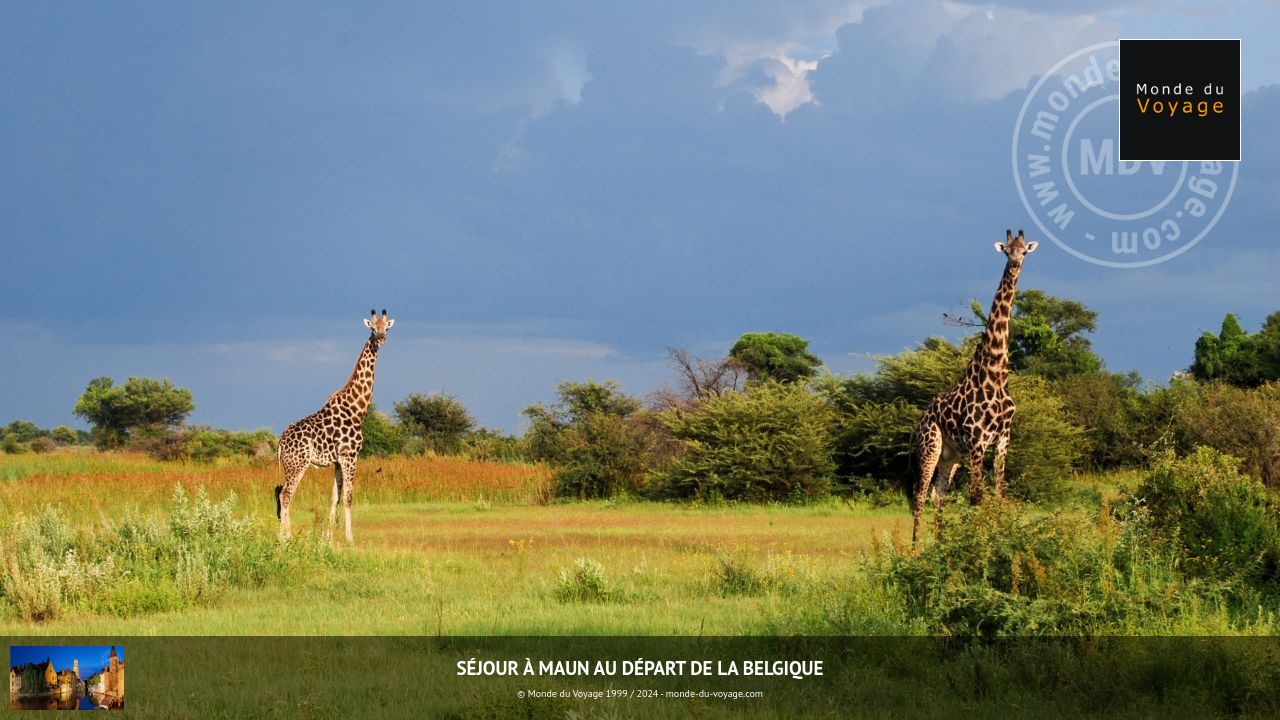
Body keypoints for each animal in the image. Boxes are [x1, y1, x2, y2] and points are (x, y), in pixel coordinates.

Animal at [279, 307, 394, 538]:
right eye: (372, 328)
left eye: (386, 328)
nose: (381, 338)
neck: (357, 409)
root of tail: (280, 442)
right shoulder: (350, 455)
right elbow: (349, 497)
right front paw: (350, 538)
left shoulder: (338, 460)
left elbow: (335, 497)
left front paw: (328, 537)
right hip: (298, 464)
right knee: (286, 495)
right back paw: (285, 538)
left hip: (290, 465)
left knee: (281, 493)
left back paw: (285, 535)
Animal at [911, 229, 1039, 543]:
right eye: (1006, 251)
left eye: (1024, 252)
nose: (1015, 265)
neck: (995, 373)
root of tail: (920, 420)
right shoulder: (977, 441)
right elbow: (976, 496)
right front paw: (980, 543)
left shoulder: (1003, 439)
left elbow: (998, 494)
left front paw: (998, 538)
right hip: (930, 446)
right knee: (920, 493)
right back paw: (914, 547)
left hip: (952, 455)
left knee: (938, 493)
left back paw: (939, 544)